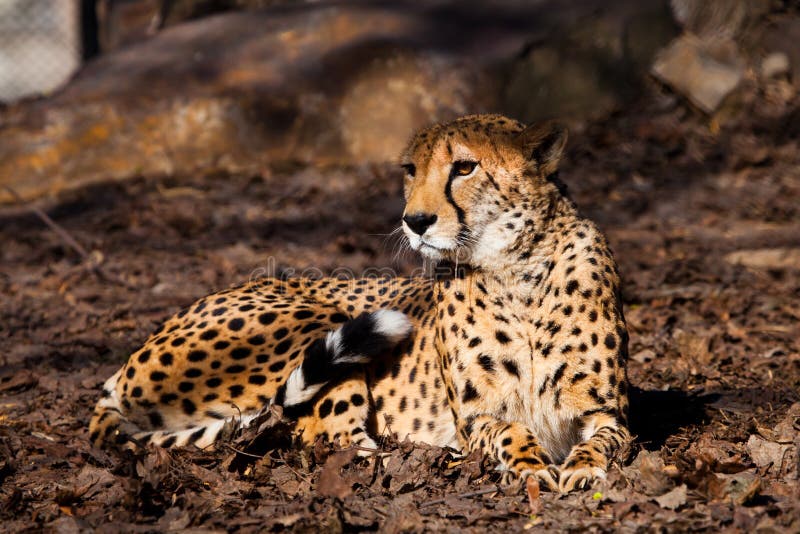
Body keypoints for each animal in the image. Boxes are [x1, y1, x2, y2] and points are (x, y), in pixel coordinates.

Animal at [89, 114, 631, 493]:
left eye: (465, 167)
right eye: (411, 170)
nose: (415, 221)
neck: (516, 272)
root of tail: (122, 371)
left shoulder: (607, 413)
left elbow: (607, 441)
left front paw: (582, 468)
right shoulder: (475, 419)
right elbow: (511, 432)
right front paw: (530, 466)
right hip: (320, 320)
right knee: (328, 437)